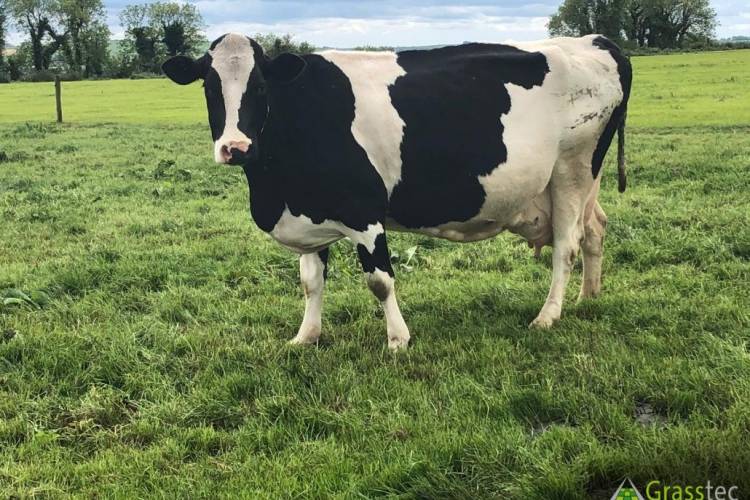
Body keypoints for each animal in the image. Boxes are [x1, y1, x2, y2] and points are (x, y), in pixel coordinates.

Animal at [162, 33, 632, 350]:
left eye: (260, 86)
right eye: (209, 87)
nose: (235, 147)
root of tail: (595, 41)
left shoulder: (364, 212)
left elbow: (380, 281)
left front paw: (397, 340)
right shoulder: (310, 215)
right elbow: (311, 282)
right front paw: (306, 336)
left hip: (572, 169)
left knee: (566, 245)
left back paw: (548, 316)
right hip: (586, 180)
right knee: (596, 229)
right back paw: (588, 297)